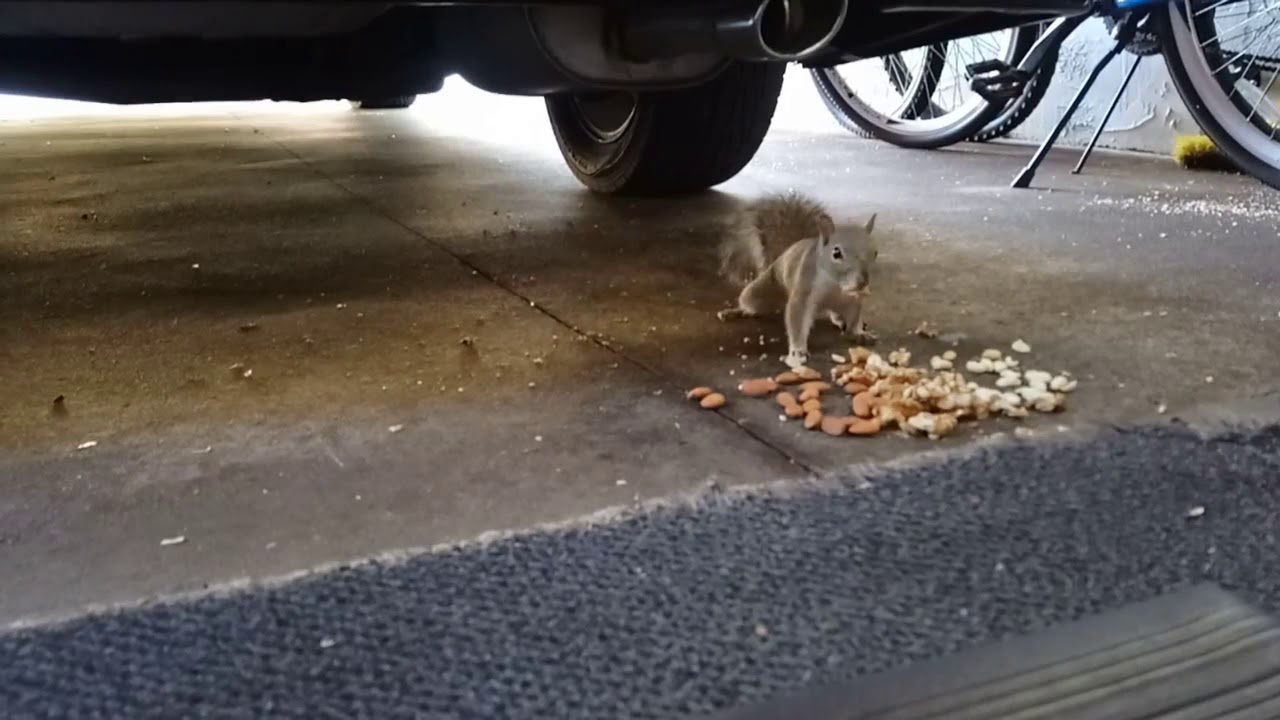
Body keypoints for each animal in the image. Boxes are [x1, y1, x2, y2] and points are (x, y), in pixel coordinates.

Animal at [716, 192, 879, 369]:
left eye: (875, 252)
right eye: (836, 253)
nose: (863, 281)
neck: (835, 285)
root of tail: (785, 252)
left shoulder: (852, 301)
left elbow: (854, 318)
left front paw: (859, 333)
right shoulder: (804, 290)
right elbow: (797, 318)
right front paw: (797, 351)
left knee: (835, 314)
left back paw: (841, 320)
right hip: (763, 289)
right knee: (751, 301)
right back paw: (737, 311)